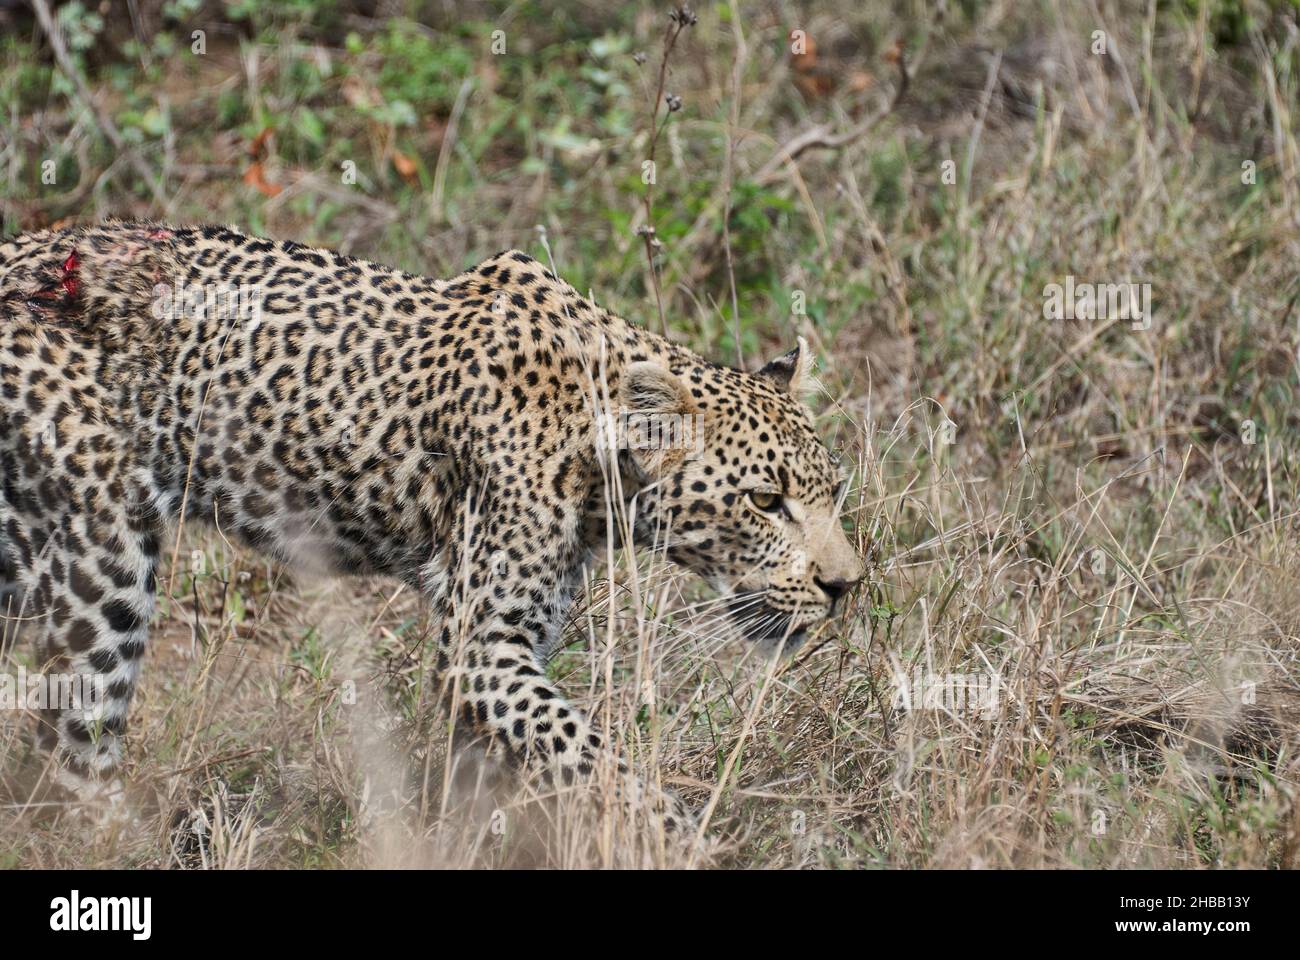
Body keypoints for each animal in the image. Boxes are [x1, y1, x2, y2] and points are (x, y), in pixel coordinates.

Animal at [0, 220, 863, 825]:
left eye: (832, 493)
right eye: (765, 501)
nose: (846, 585)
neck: (598, 457)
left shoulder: (509, 649)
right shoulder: (481, 648)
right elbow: (591, 754)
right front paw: (673, 834)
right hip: (103, 560)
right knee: (73, 754)